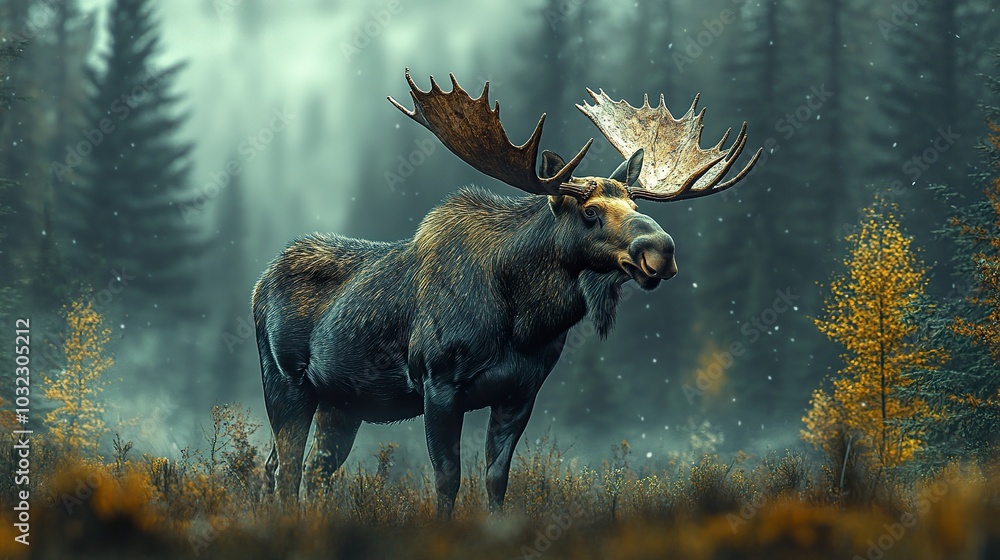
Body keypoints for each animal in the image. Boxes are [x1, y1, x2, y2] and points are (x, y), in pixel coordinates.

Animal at [253, 69, 761, 519]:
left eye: (635, 202)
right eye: (590, 212)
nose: (662, 249)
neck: (524, 322)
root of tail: (260, 282)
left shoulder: (522, 392)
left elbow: (497, 479)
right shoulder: (438, 383)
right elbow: (448, 478)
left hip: (342, 401)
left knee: (310, 470)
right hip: (285, 380)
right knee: (284, 469)